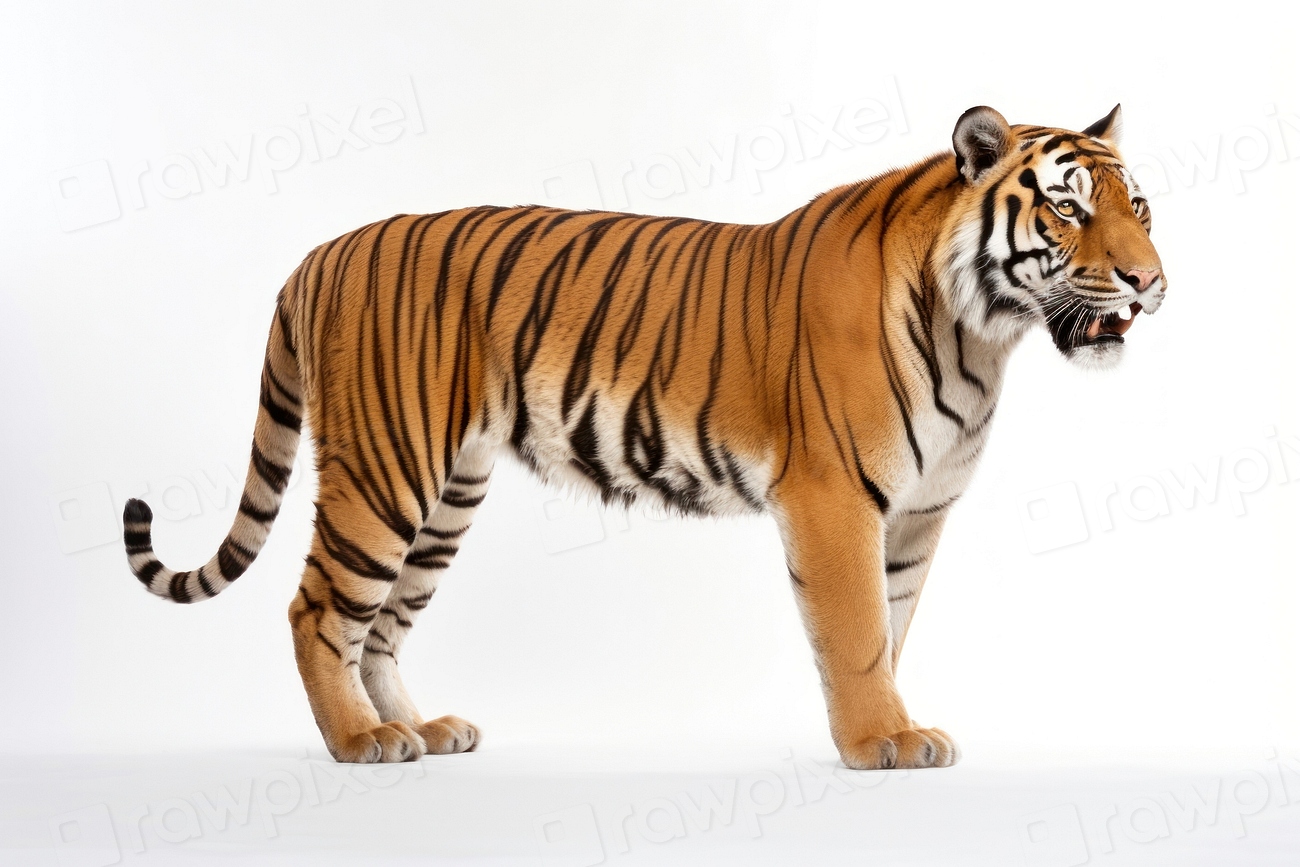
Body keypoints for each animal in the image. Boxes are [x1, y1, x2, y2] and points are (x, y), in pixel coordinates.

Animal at [122, 104, 1166, 769]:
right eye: (1068, 206)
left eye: (1139, 205)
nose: (1151, 282)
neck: (979, 335)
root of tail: (315, 253)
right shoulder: (835, 498)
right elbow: (860, 629)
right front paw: (880, 740)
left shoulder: (917, 512)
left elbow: (893, 622)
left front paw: (889, 726)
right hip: (385, 472)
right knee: (317, 611)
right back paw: (359, 742)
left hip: (449, 492)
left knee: (378, 624)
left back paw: (423, 730)